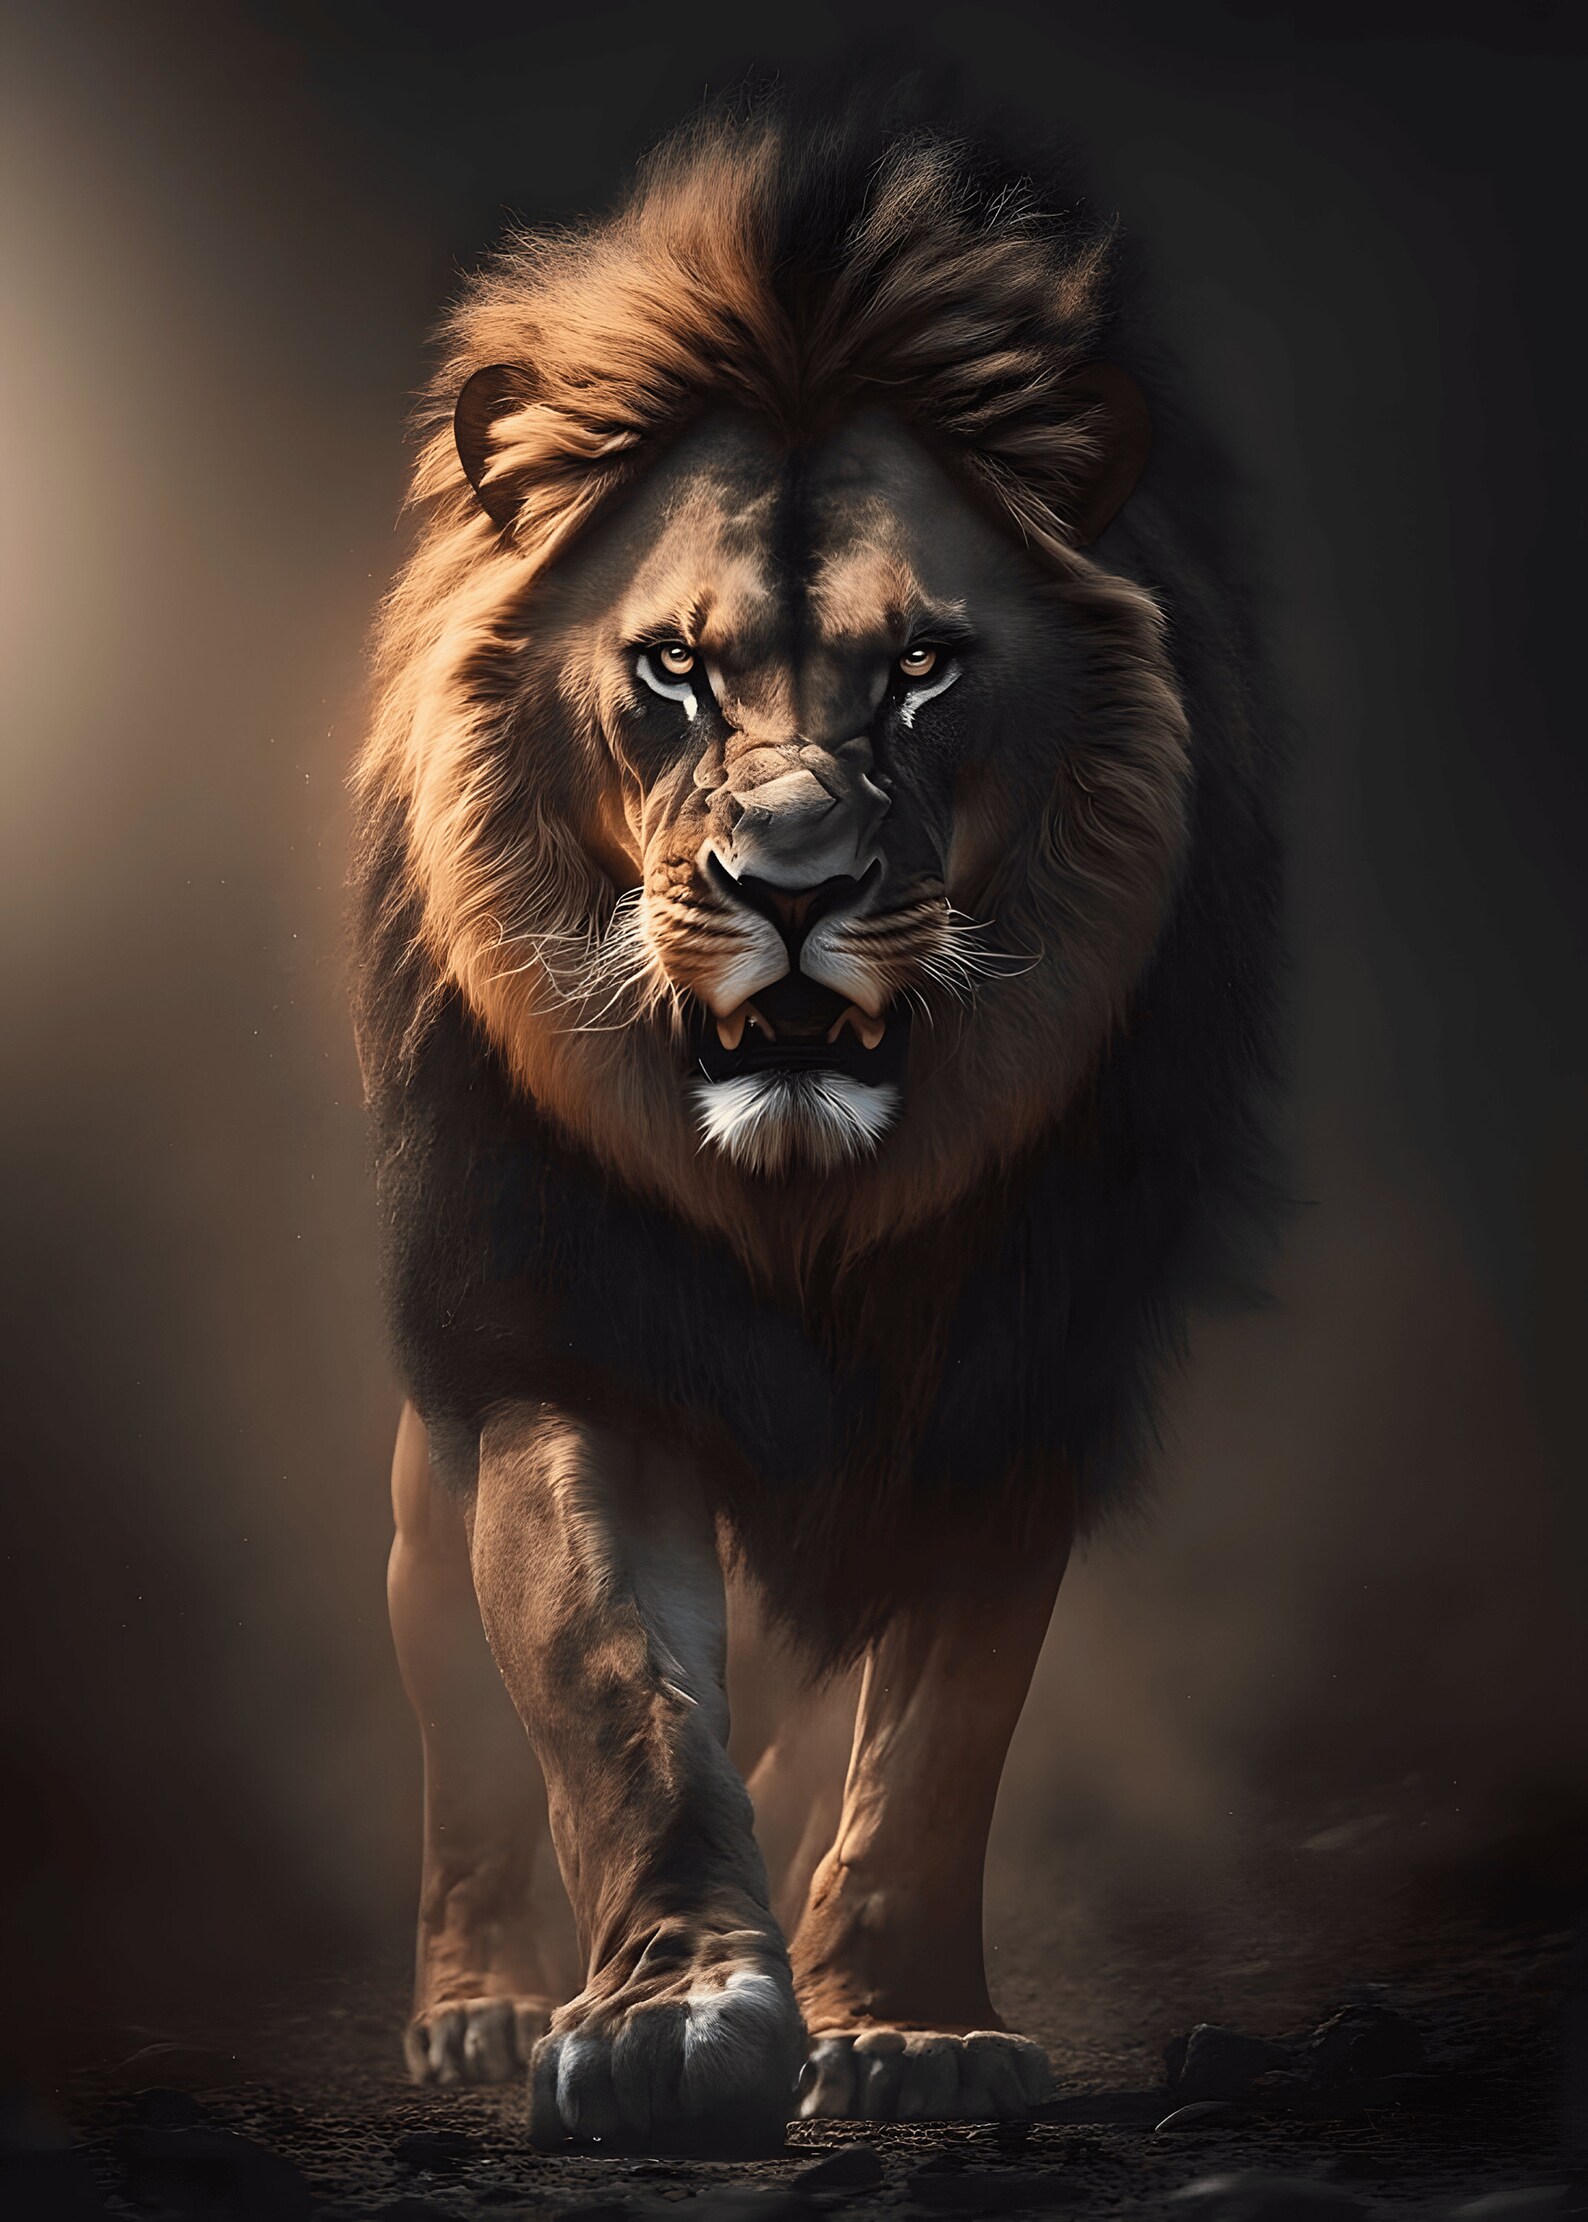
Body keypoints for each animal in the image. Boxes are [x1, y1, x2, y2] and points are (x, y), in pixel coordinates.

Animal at [355, 88, 1281, 2149]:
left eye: (921, 664)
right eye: (672, 666)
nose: (789, 882)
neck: (807, 1195)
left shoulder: (1016, 1369)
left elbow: (936, 1743)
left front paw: (909, 2030)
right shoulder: (571, 1335)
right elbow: (618, 1695)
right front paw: (664, 2015)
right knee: (455, 1737)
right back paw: (469, 2003)